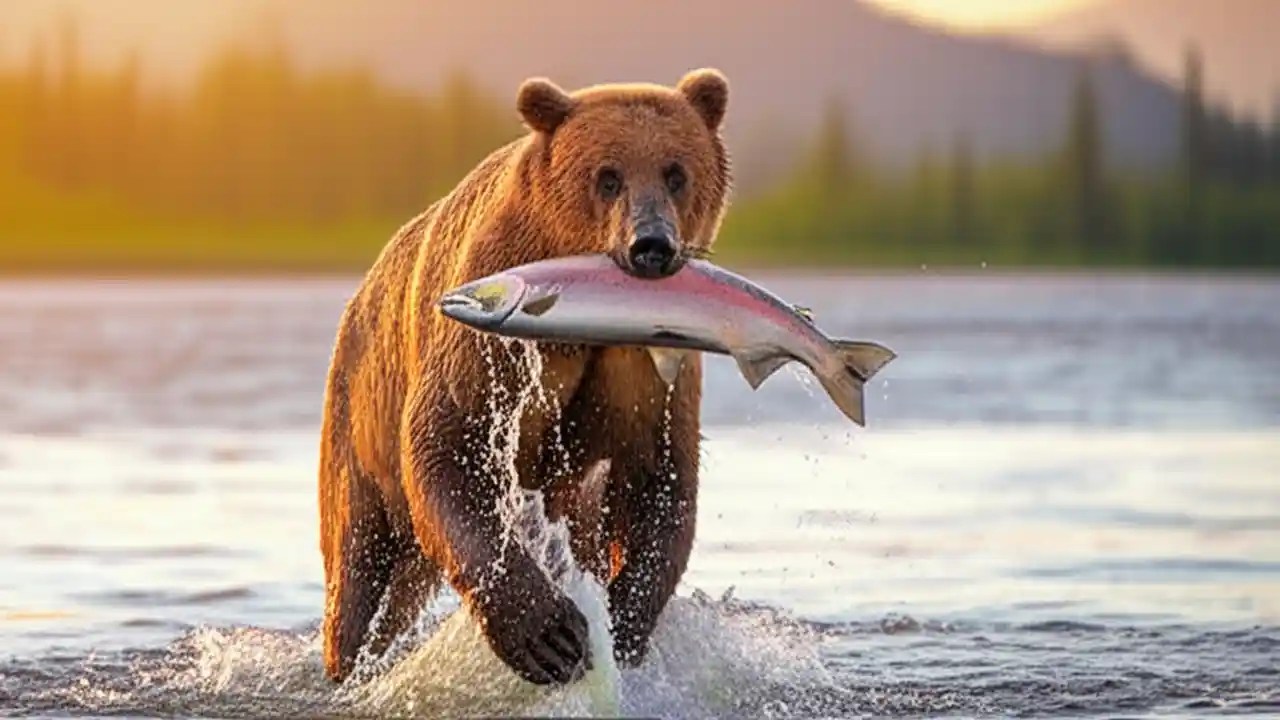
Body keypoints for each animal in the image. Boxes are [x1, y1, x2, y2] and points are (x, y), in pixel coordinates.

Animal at [317, 68, 732, 685]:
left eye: (676, 172)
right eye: (608, 176)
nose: (652, 245)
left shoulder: (650, 369)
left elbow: (659, 478)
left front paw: (623, 623)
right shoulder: (488, 340)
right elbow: (451, 447)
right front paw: (550, 637)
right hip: (360, 421)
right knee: (357, 558)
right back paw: (348, 660)